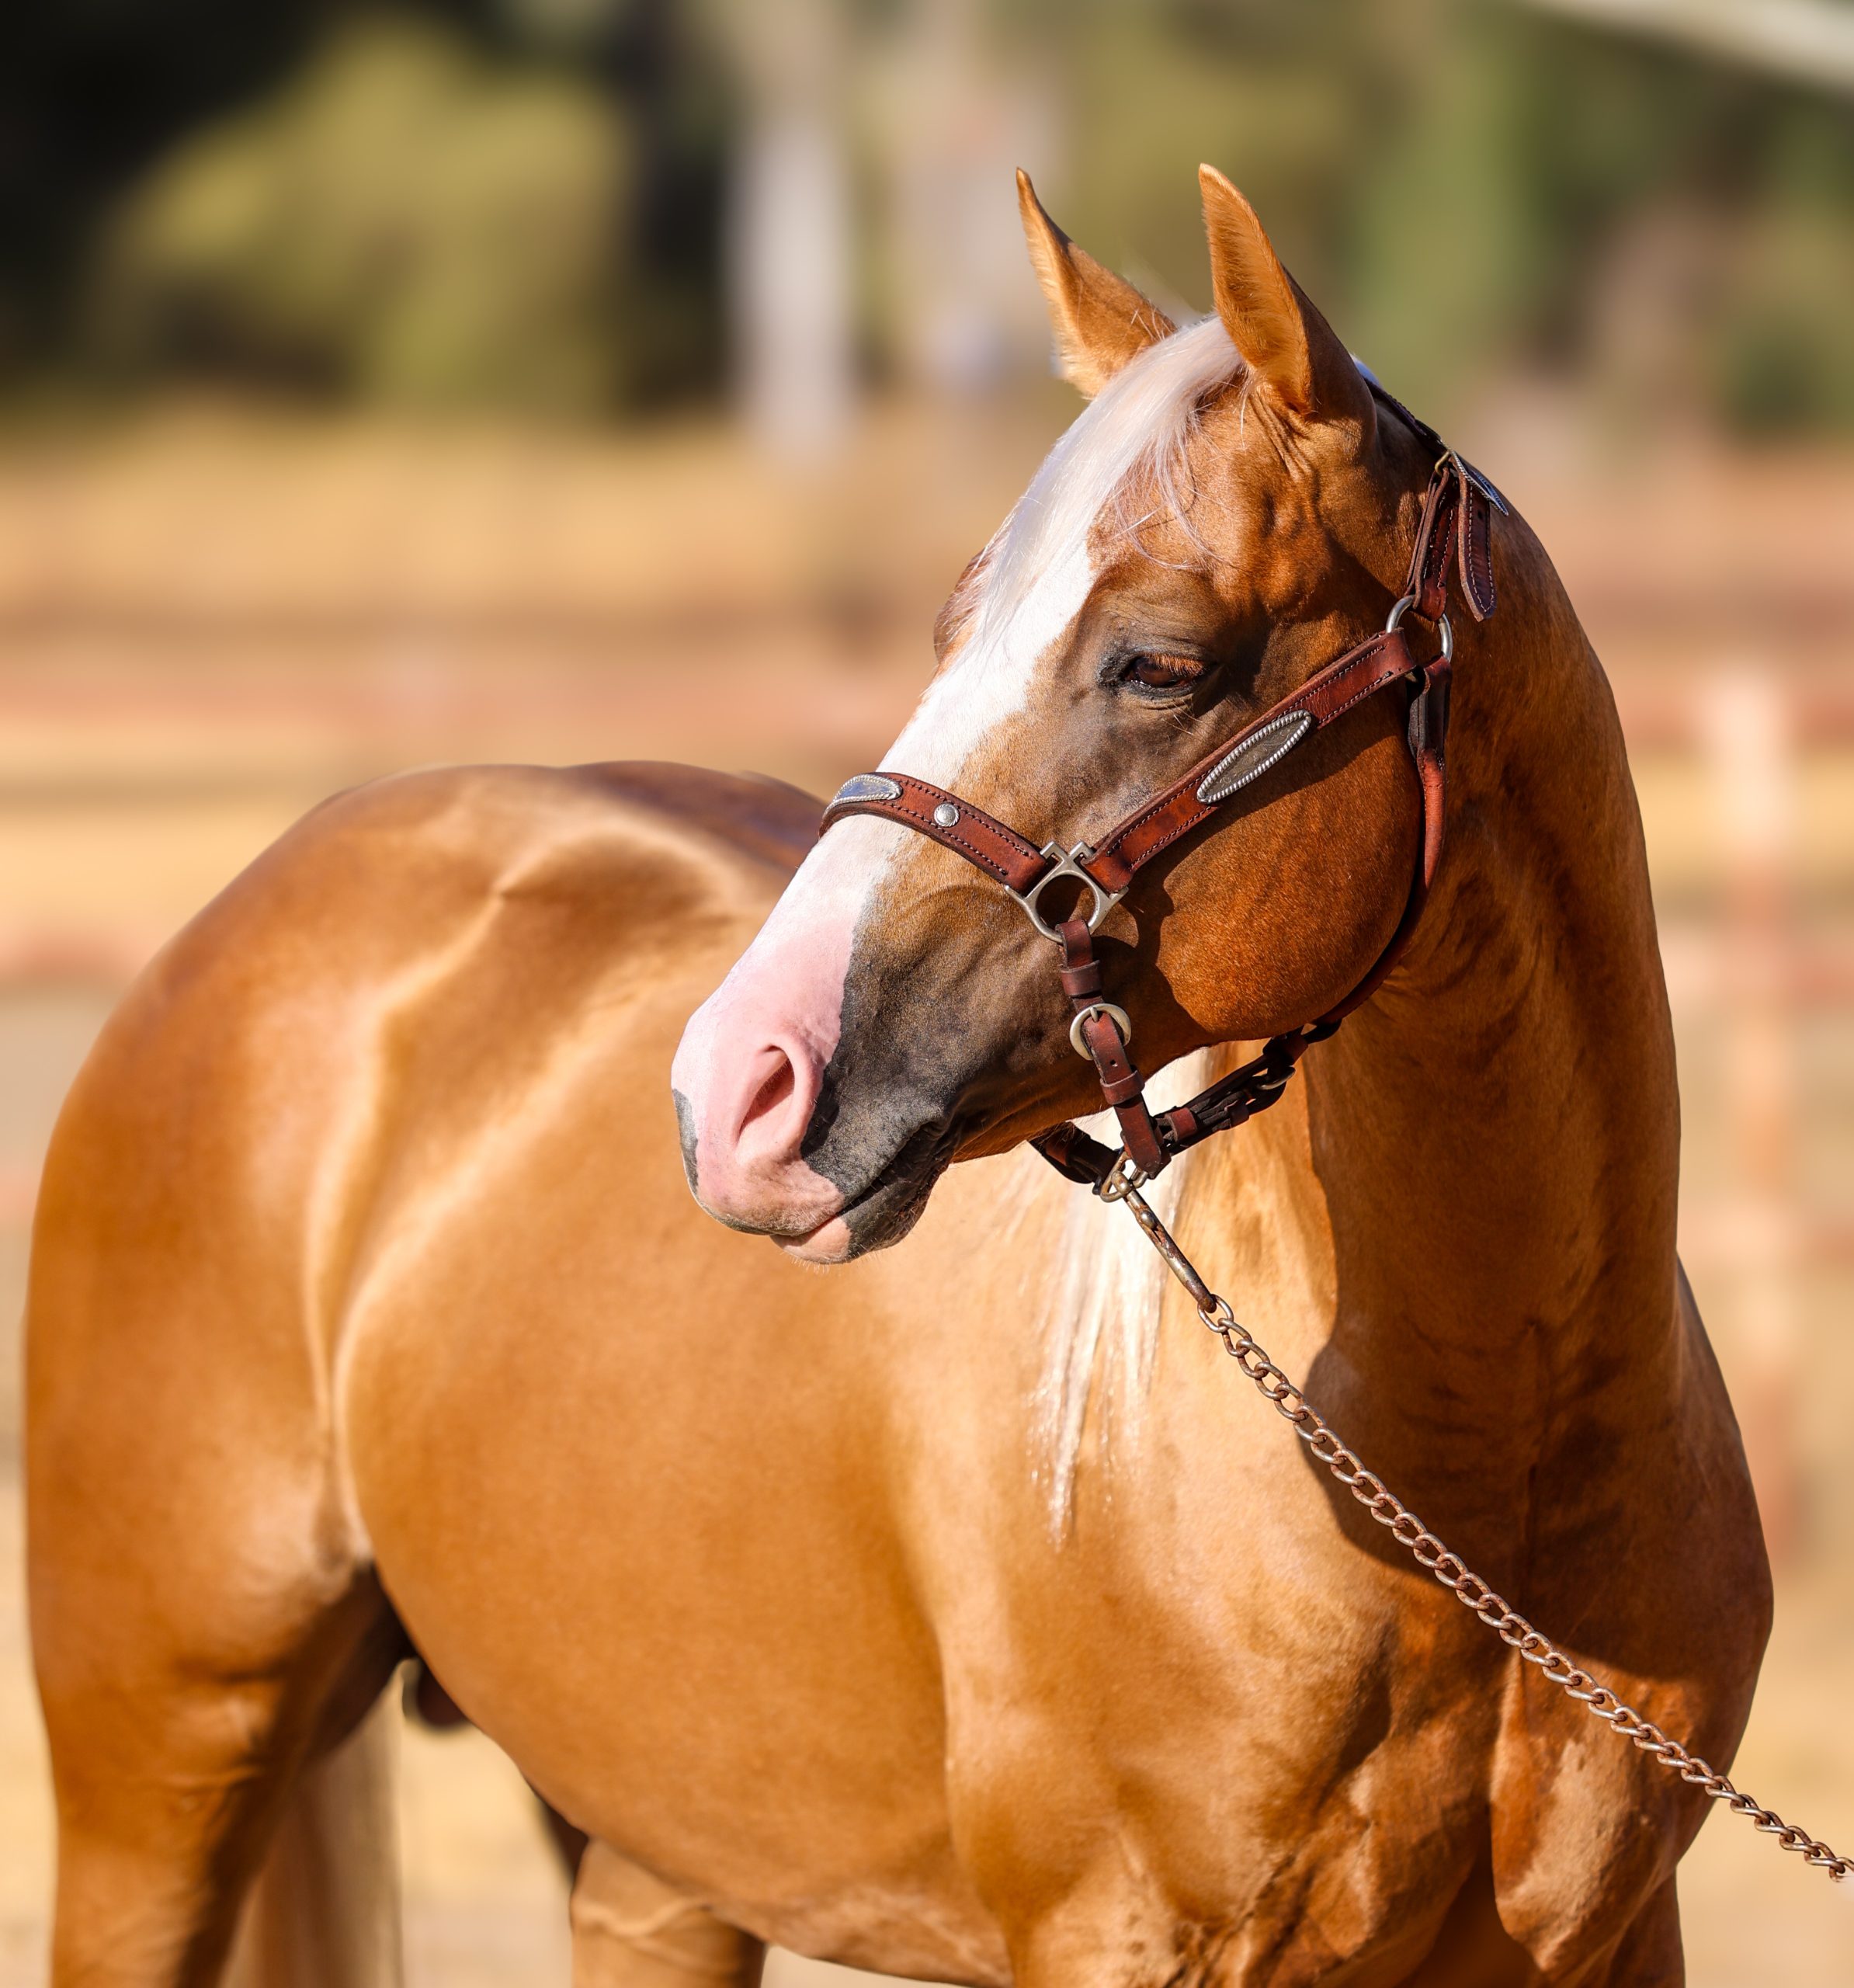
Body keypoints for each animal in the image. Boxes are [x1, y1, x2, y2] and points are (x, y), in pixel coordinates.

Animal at [26, 166, 1768, 1988]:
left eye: (1160, 660)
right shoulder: (1116, 1941)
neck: (1477, 1488)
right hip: (160, 1772)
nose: (737, 1088)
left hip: (652, 1849)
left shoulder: (1619, 1939)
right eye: (952, 627)